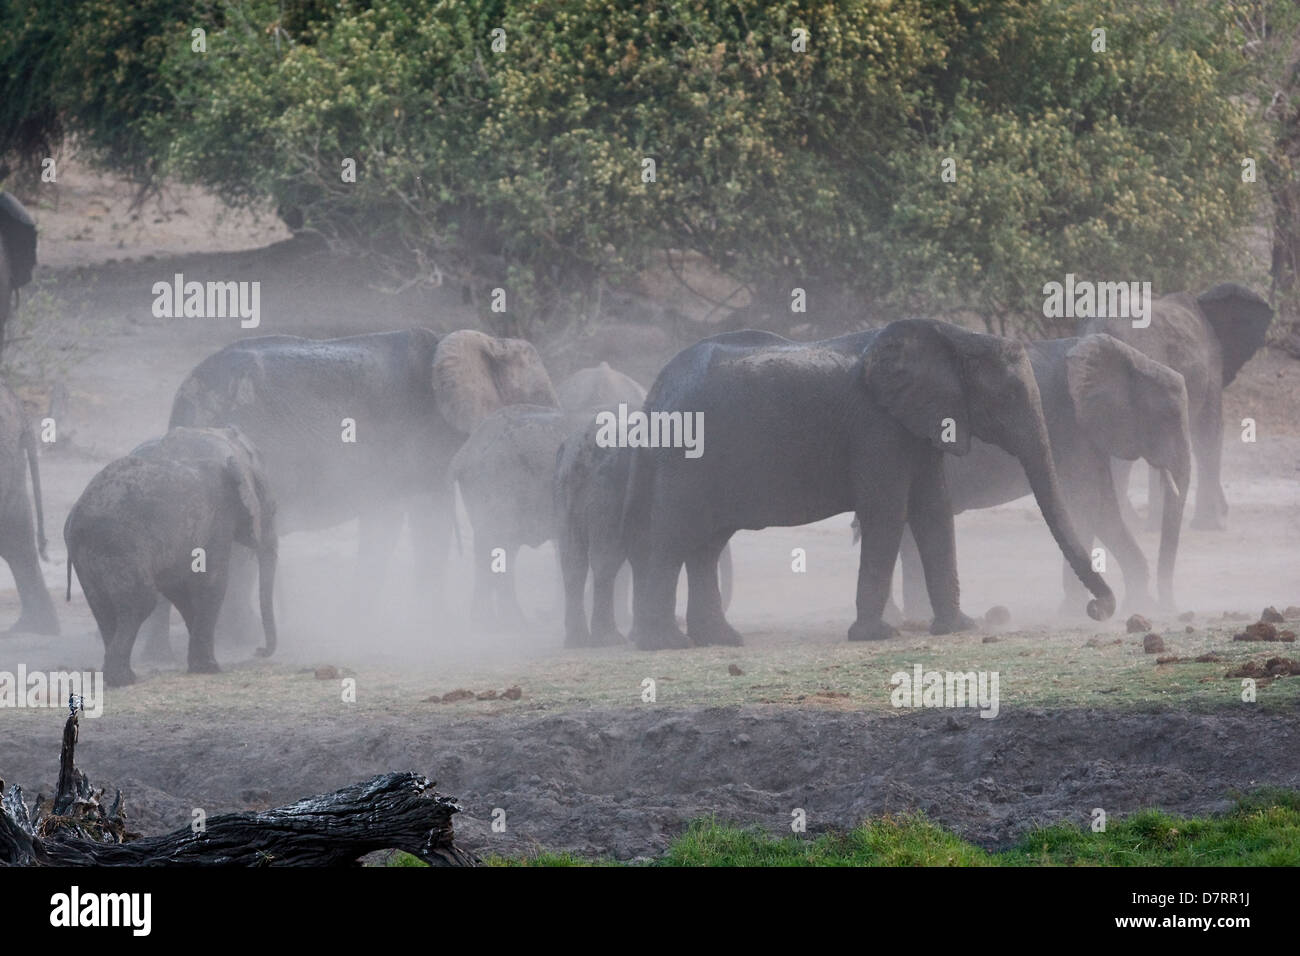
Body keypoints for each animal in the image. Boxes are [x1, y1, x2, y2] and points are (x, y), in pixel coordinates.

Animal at [64, 427, 278, 686]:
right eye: (273, 510)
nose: (259, 651)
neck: (237, 466)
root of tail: (78, 515)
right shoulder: (218, 521)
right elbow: (212, 584)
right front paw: (210, 669)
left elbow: (179, 590)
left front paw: (200, 666)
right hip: (118, 546)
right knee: (140, 601)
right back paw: (124, 679)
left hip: (86, 554)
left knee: (102, 607)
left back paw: (117, 676)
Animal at [167, 328, 557, 637]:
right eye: (541, 399)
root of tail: (183, 405)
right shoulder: (421, 439)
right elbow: (425, 519)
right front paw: (436, 624)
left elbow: (387, 523)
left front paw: (362, 621)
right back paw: (242, 637)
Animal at [622, 320, 1116, 651]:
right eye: (1008, 396)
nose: (1099, 610)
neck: (953, 335)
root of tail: (655, 392)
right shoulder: (877, 428)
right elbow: (888, 512)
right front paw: (876, 636)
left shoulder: (919, 421)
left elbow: (934, 510)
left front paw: (960, 627)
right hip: (687, 454)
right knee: (675, 536)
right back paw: (666, 644)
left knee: (706, 543)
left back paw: (722, 640)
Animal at [893, 334, 1191, 620]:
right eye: (1168, 416)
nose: (1171, 609)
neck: (1131, 358)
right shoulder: (1071, 427)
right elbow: (1084, 504)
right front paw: (1075, 612)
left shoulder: (1086, 434)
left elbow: (1104, 510)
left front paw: (1140, 604)